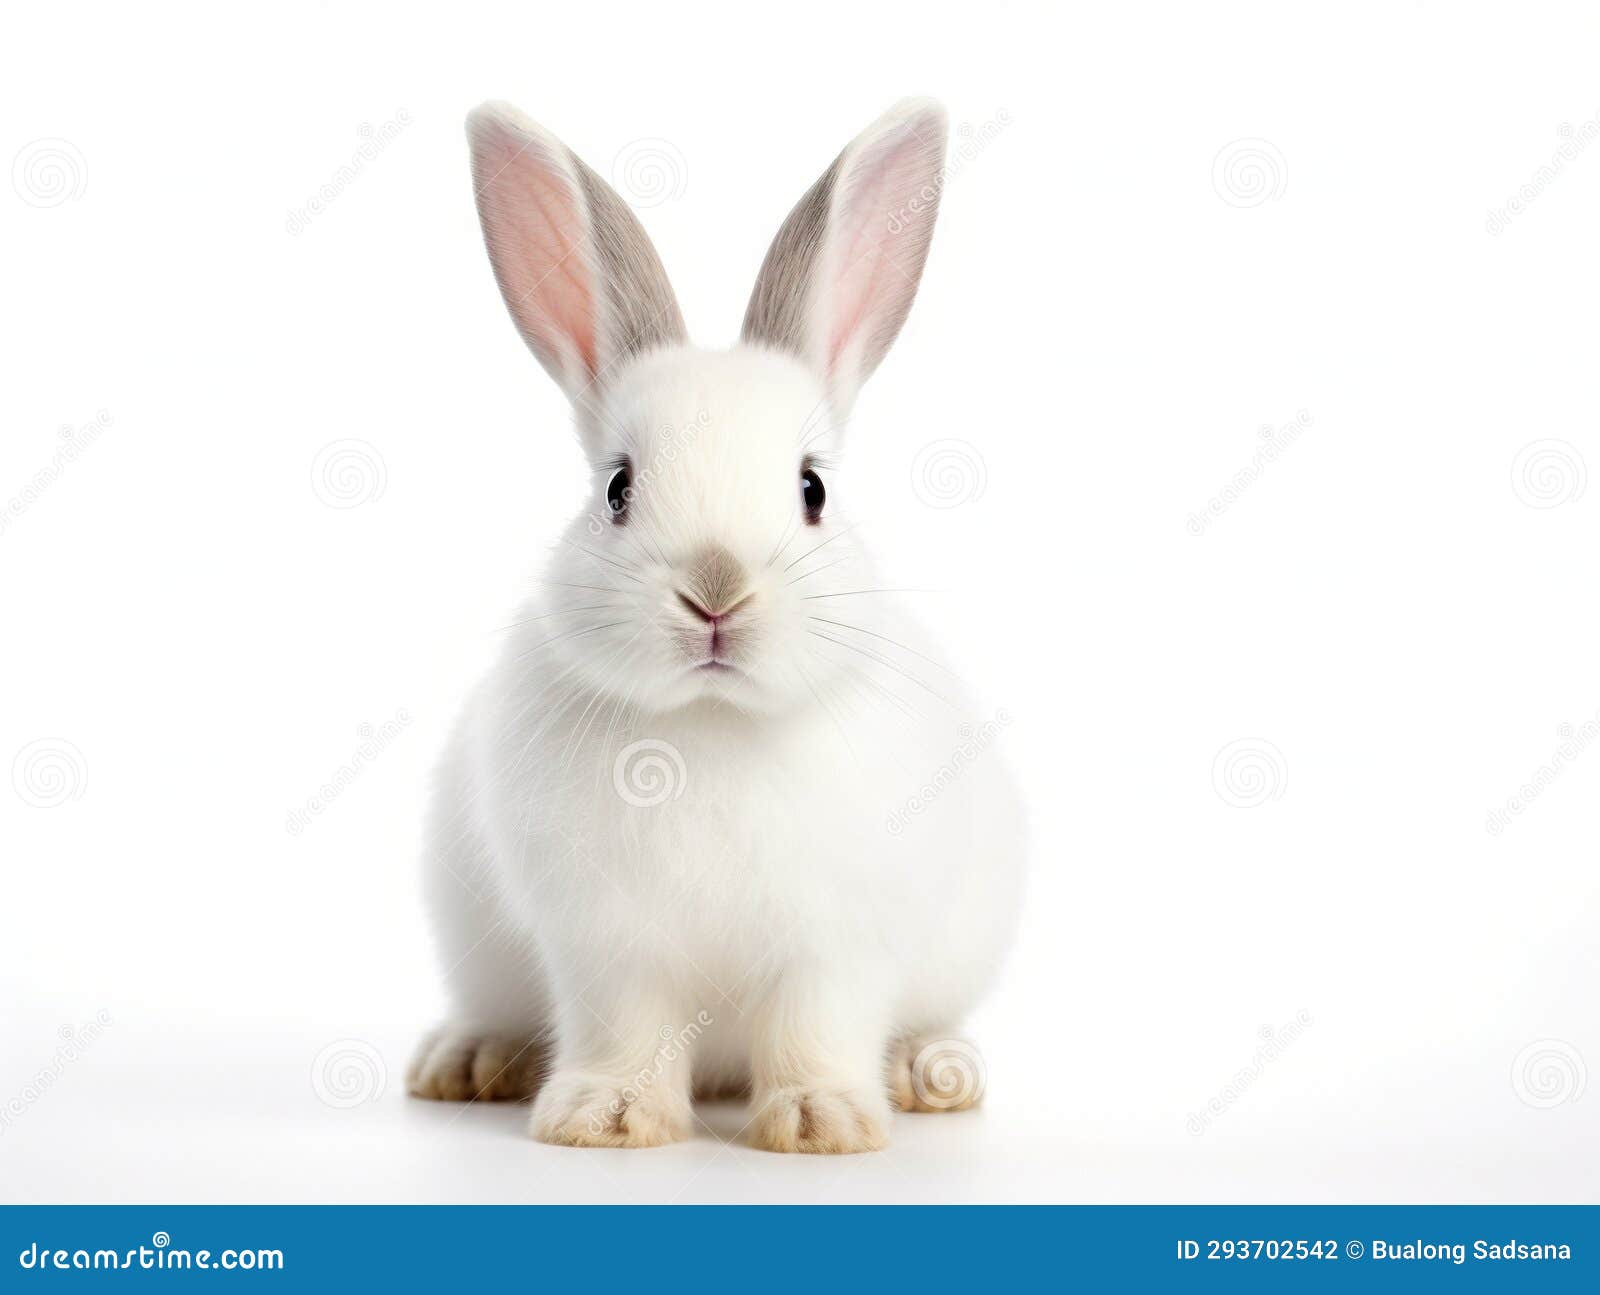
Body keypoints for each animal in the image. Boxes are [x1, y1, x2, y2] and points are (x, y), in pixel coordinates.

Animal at [405, 98, 1026, 1154]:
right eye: (618, 488)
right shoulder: (609, 949)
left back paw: (932, 1074)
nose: (716, 590)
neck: (710, 725)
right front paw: (605, 1117)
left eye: (813, 489)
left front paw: (822, 1123)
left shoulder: (837, 947)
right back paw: (466, 1062)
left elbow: (818, 1029)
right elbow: (628, 1032)